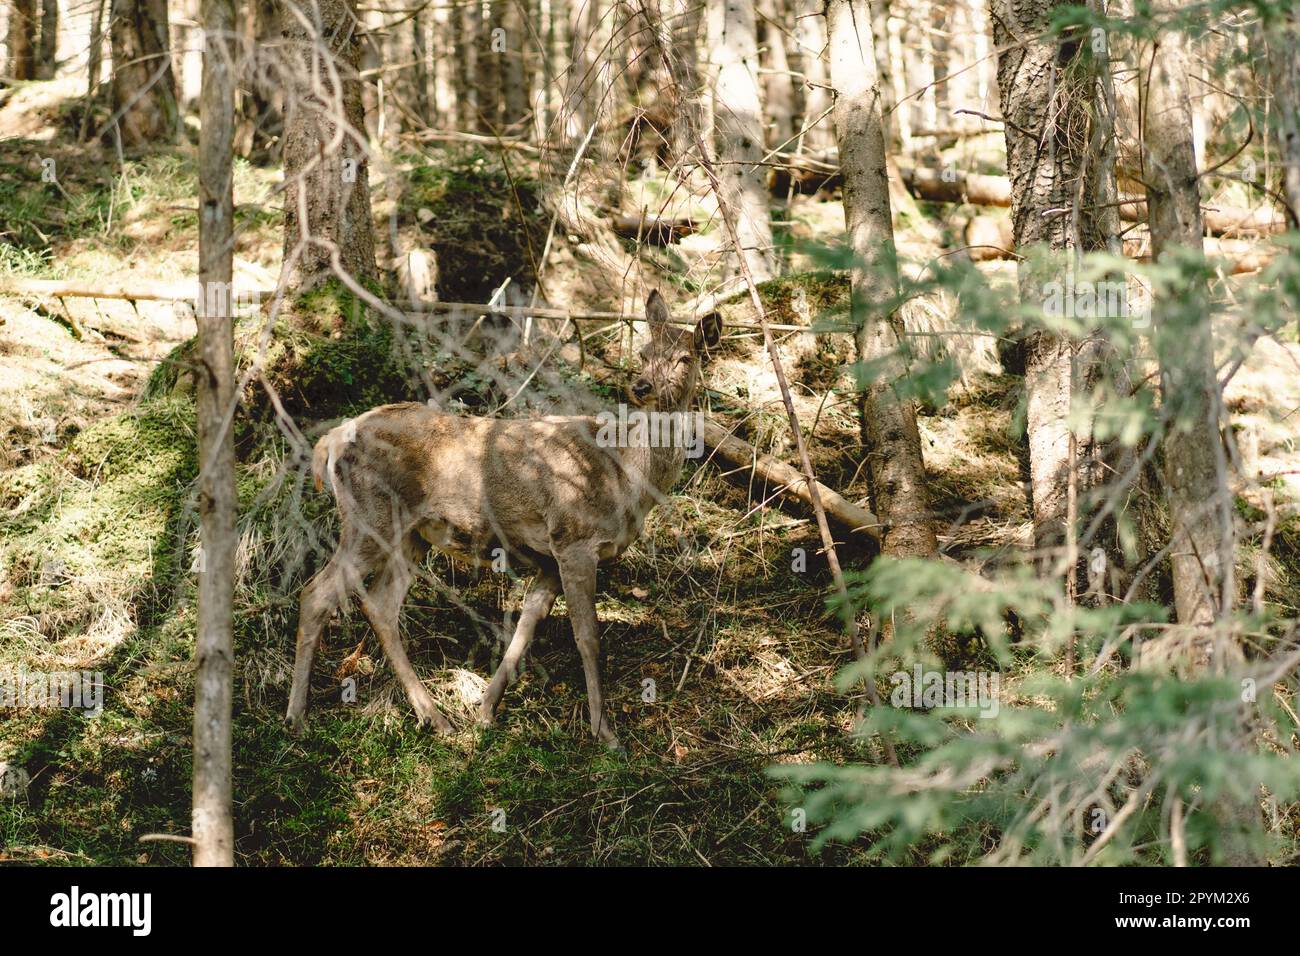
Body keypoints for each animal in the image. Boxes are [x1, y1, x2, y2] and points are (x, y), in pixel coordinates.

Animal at [285, 290, 722, 750]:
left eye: (685, 358)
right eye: (643, 353)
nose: (641, 387)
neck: (627, 478)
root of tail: (331, 439)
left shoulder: (549, 559)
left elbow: (525, 628)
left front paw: (485, 711)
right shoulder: (574, 539)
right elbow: (588, 638)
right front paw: (605, 732)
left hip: (411, 535)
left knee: (381, 605)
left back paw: (435, 718)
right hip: (369, 517)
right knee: (316, 593)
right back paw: (297, 717)